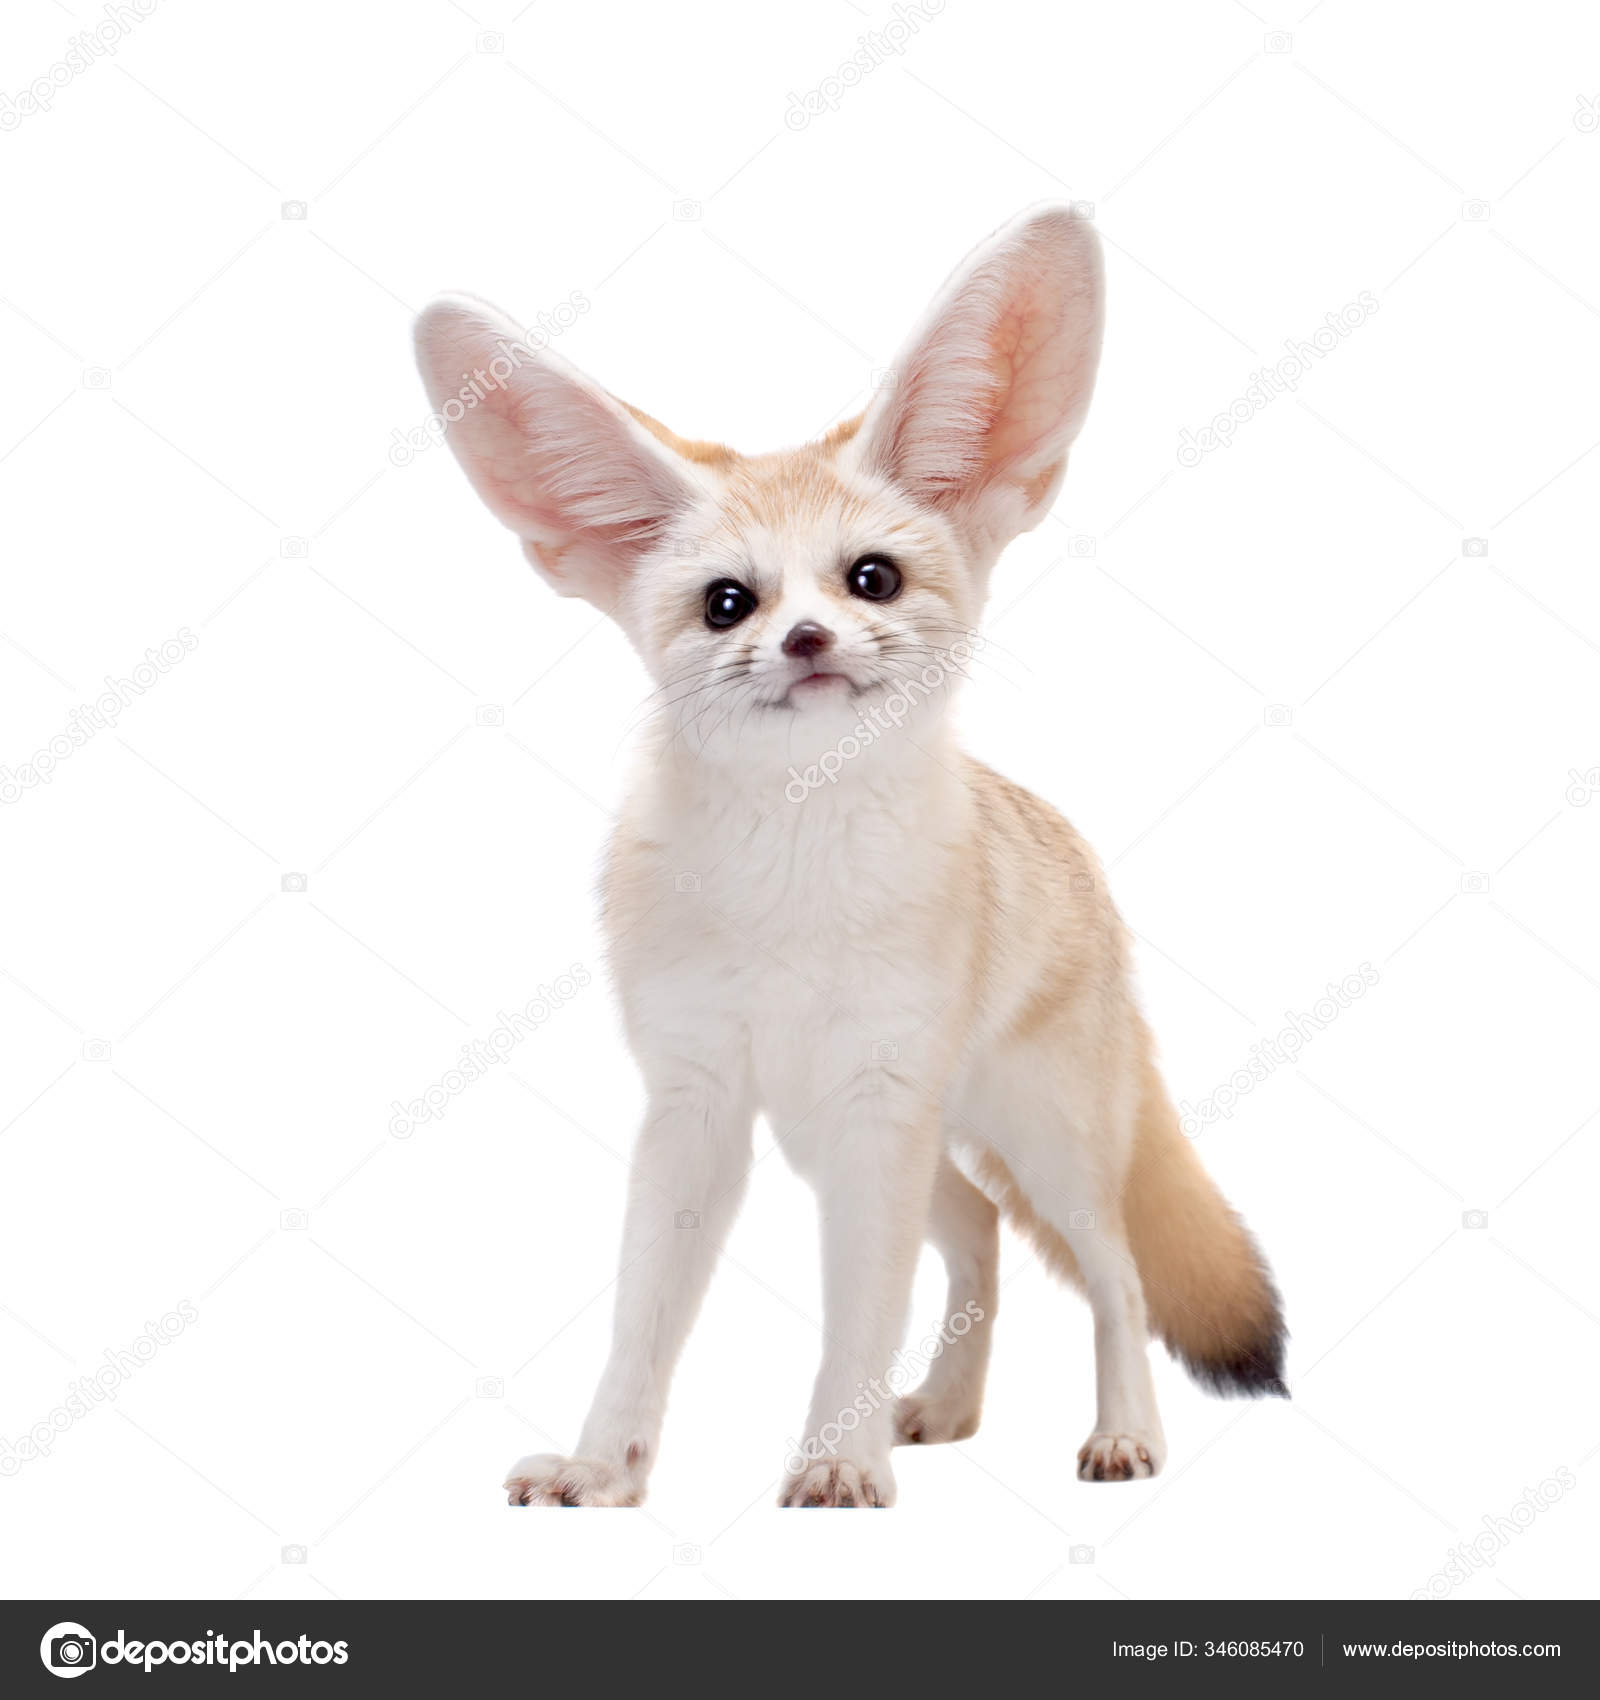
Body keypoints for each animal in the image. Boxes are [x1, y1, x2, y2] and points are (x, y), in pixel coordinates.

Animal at [413, 204, 1287, 1508]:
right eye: (728, 603)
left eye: (871, 577)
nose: (809, 638)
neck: (792, 894)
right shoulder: (701, 1106)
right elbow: (641, 1321)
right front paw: (603, 1466)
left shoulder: (875, 1104)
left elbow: (859, 1312)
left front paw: (835, 1459)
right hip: (869, 1137)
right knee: (980, 1230)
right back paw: (949, 1408)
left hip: (1039, 1137)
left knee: (1115, 1271)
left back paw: (1124, 1433)